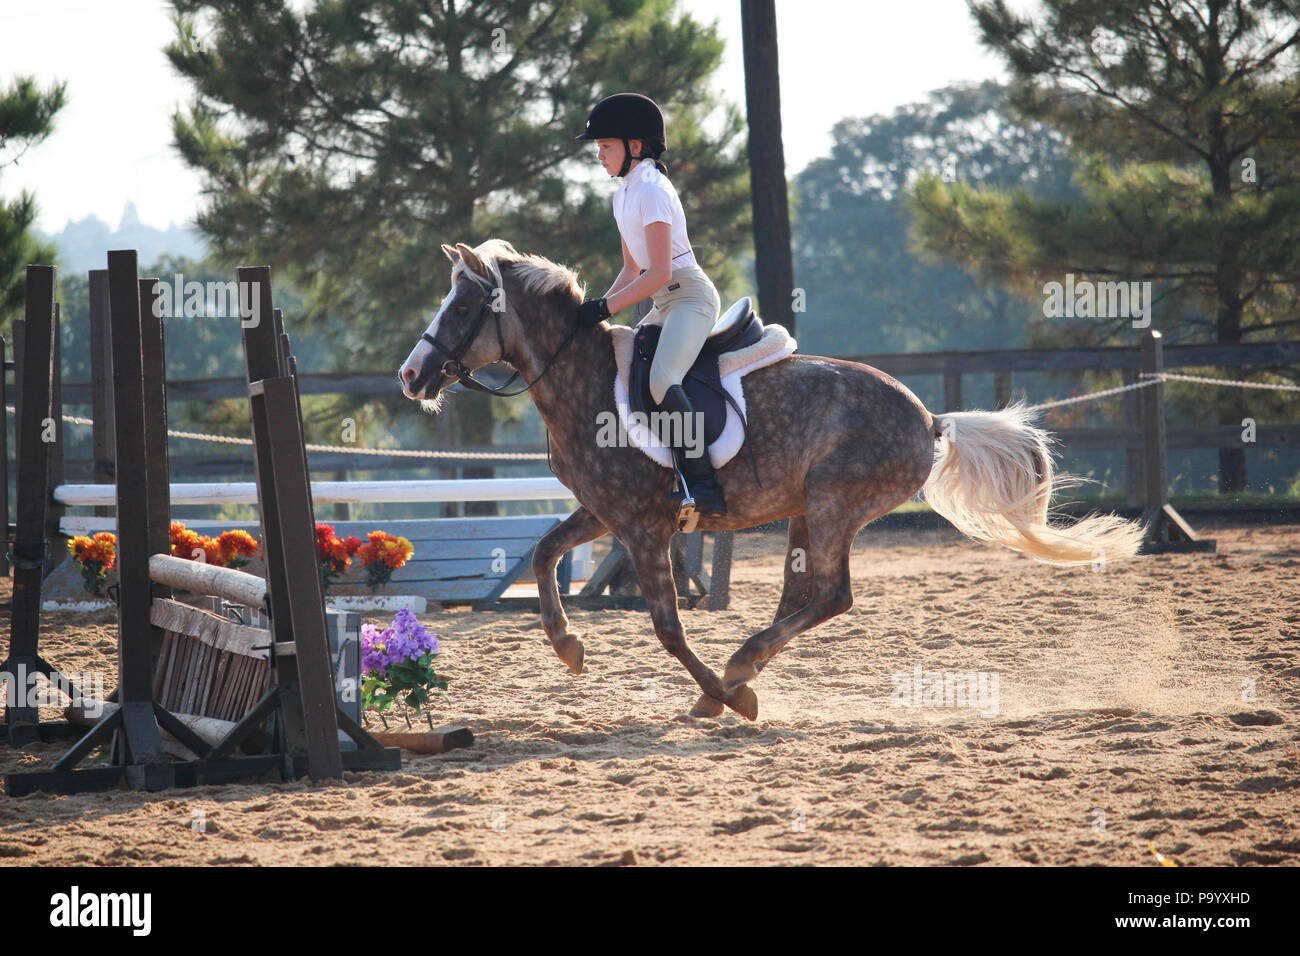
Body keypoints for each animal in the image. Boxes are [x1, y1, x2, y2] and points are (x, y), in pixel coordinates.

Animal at [398, 239, 1144, 721]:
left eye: (461, 311)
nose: (410, 376)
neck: (580, 379)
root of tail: (930, 418)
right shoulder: (608, 513)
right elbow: (544, 553)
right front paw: (568, 647)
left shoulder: (642, 526)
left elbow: (666, 626)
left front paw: (732, 699)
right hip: (806, 511)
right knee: (800, 594)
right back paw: (739, 667)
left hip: (834, 503)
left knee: (832, 595)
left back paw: (736, 674)